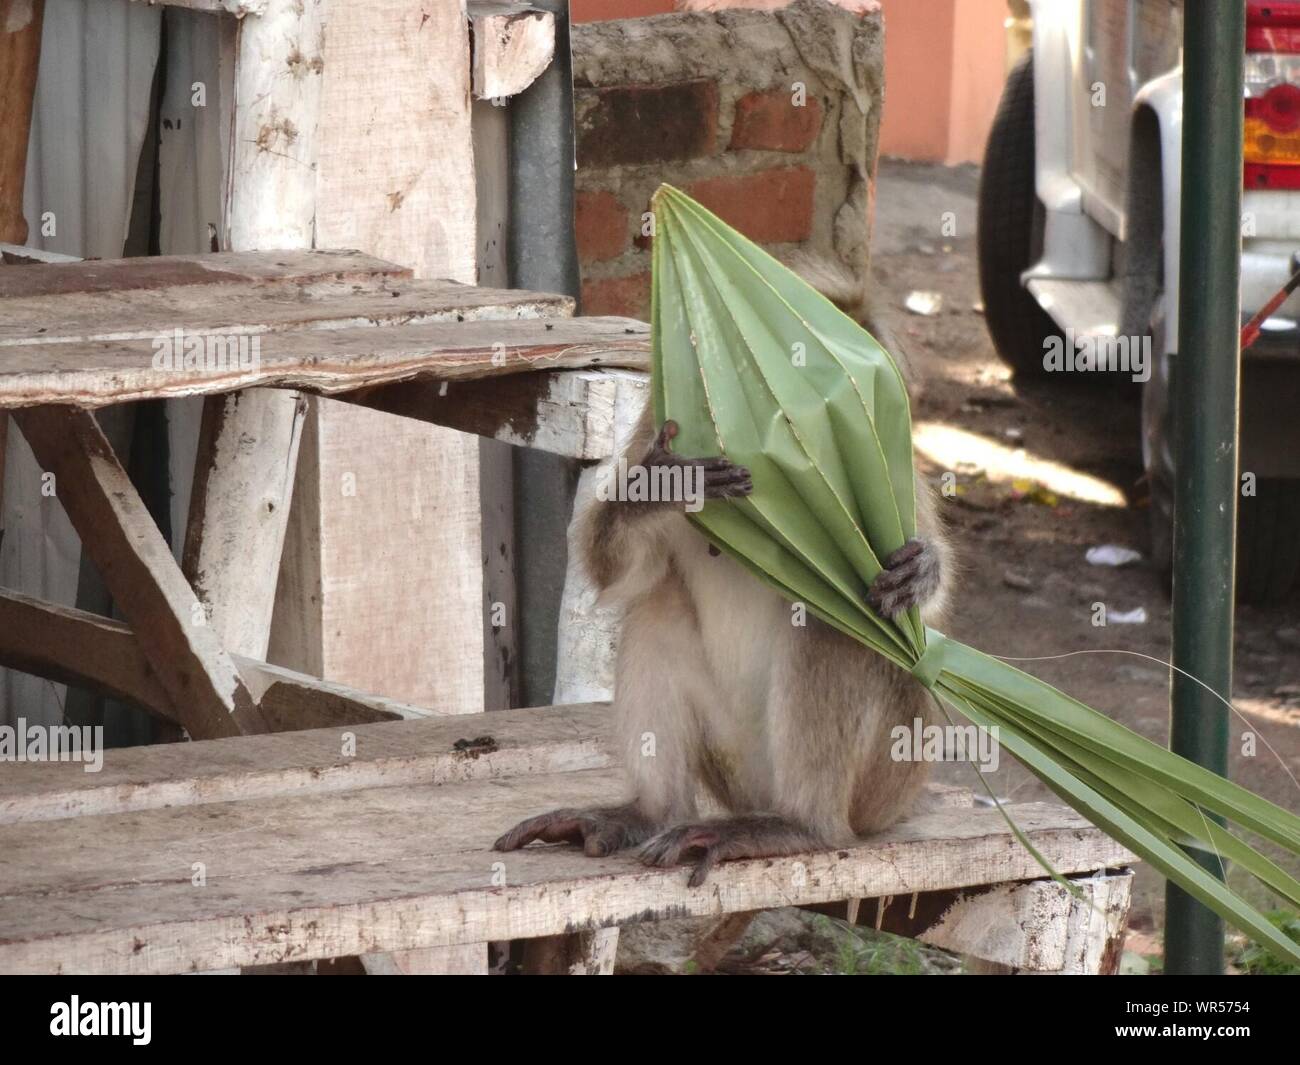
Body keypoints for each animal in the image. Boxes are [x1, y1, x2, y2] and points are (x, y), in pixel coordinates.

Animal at [494, 254, 953, 888]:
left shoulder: (887, 454)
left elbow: (914, 623)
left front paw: (921, 572)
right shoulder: (664, 420)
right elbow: (621, 573)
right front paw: (657, 490)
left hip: (888, 778)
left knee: (841, 622)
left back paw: (802, 827)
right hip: (735, 766)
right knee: (659, 606)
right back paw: (651, 812)